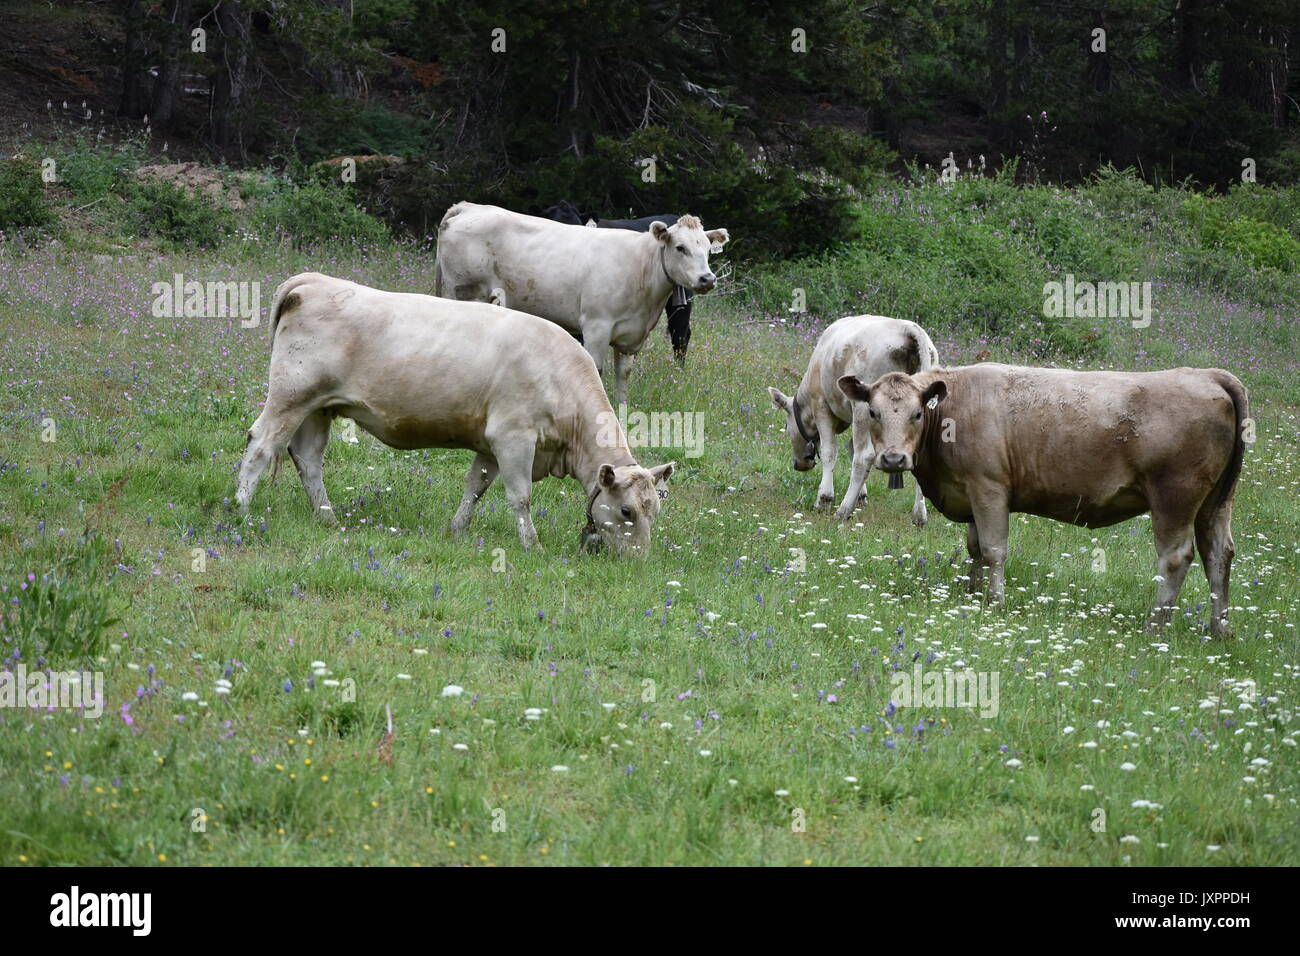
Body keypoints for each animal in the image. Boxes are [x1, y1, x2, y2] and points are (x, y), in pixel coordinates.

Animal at [233, 273, 676, 557]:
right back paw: (240, 508)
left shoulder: (490, 443)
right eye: (626, 511)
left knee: (308, 459)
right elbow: (520, 497)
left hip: (318, 407)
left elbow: (475, 487)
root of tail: (311, 280)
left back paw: (326, 517)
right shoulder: (513, 438)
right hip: (291, 395)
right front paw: (532, 546)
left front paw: (456, 530)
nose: (638, 560)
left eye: (655, 509)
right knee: (261, 443)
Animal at [436, 201, 728, 405]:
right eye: (680, 247)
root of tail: (469, 206)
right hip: (467, 292)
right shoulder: (596, 327)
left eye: (707, 249)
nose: (707, 278)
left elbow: (623, 375)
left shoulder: (630, 337)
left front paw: (622, 411)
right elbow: (595, 371)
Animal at [767, 315, 939, 525]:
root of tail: (909, 328)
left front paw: (824, 499)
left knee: (863, 456)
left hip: (864, 407)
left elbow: (830, 451)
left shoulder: (821, 406)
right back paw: (919, 515)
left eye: (786, 426)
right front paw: (861, 496)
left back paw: (842, 511)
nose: (799, 464)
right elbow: (850, 449)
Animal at [835, 363, 1248, 637]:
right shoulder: (969, 492)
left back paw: (1156, 625)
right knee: (1218, 554)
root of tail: (1208, 374)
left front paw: (995, 602)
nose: (893, 459)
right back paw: (1219, 629)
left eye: (917, 413)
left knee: (1176, 557)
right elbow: (975, 549)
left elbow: (994, 549)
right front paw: (973, 595)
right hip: (1216, 503)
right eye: (873, 411)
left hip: (1174, 496)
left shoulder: (988, 488)